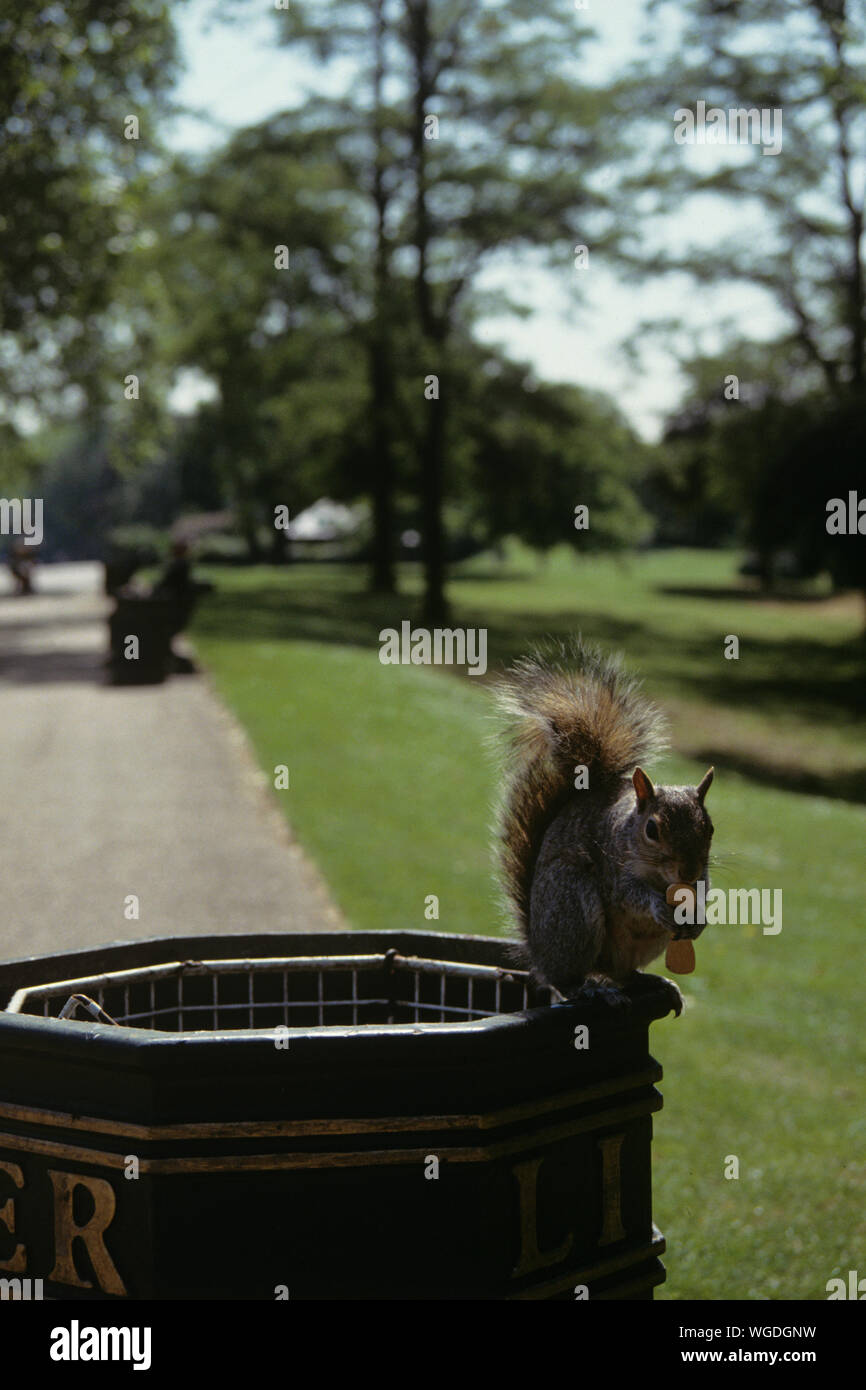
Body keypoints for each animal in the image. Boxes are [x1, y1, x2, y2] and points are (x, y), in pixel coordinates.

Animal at [494, 639, 714, 1012]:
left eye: (710, 829)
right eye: (652, 830)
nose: (687, 870)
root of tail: (538, 950)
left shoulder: (702, 873)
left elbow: (705, 887)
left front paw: (699, 919)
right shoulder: (614, 868)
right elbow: (629, 894)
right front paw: (656, 904)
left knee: (622, 974)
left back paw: (655, 982)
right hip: (573, 909)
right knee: (566, 979)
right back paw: (588, 990)